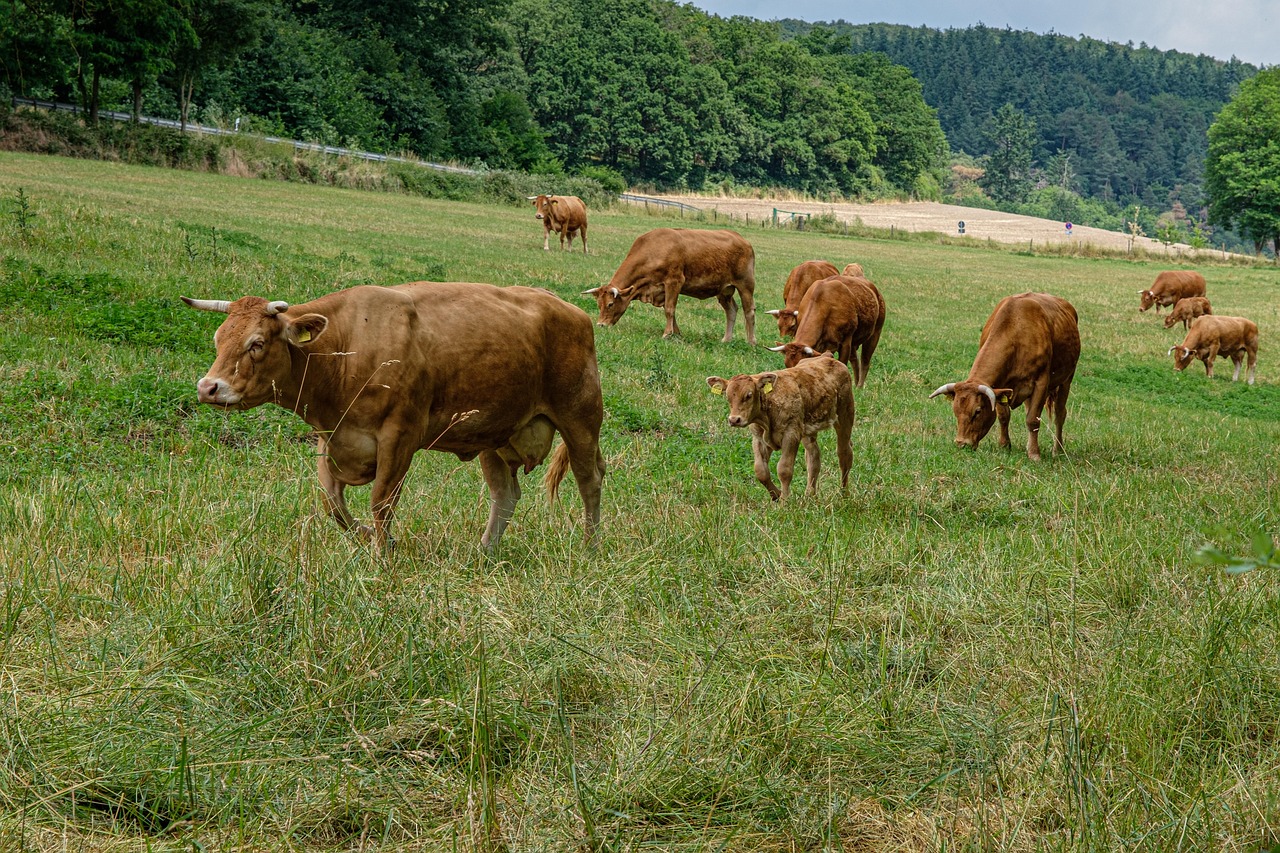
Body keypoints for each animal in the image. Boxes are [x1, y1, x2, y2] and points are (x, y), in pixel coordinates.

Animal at [182, 282, 606, 551]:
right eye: (218, 339)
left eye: (257, 343)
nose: (208, 387)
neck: (347, 347)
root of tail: (566, 308)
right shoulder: (330, 435)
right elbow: (333, 504)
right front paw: (374, 538)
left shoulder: (400, 436)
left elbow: (381, 501)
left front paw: (382, 554)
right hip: (494, 434)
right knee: (505, 494)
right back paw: (486, 551)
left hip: (580, 418)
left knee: (590, 480)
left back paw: (589, 546)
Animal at [584, 228, 756, 344]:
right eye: (599, 304)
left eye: (610, 304)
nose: (600, 325)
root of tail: (744, 241)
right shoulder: (660, 290)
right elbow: (670, 312)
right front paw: (676, 333)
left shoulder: (674, 282)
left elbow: (669, 309)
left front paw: (667, 334)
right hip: (724, 290)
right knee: (731, 310)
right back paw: (726, 339)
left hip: (746, 285)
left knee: (749, 312)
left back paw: (751, 342)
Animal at [706, 353, 854, 501]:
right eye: (727, 396)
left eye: (748, 395)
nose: (734, 420)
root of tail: (827, 356)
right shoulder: (758, 438)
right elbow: (760, 471)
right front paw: (776, 495)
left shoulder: (791, 435)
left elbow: (784, 470)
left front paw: (784, 501)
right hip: (808, 430)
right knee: (813, 458)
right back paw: (810, 495)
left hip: (845, 415)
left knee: (844, 454)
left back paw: (844, 494)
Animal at [929, 292, 1080, 461]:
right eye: (955, 411)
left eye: (978, 411)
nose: (962, 444)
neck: (1016, 329)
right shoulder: (1000, 387)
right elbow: (1004, 416)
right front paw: (1004, 445)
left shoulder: (1041, 383)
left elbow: (1033, 420)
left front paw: (1034, 454)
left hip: (1067, 379)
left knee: (1060, 413)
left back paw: (1057, 449)